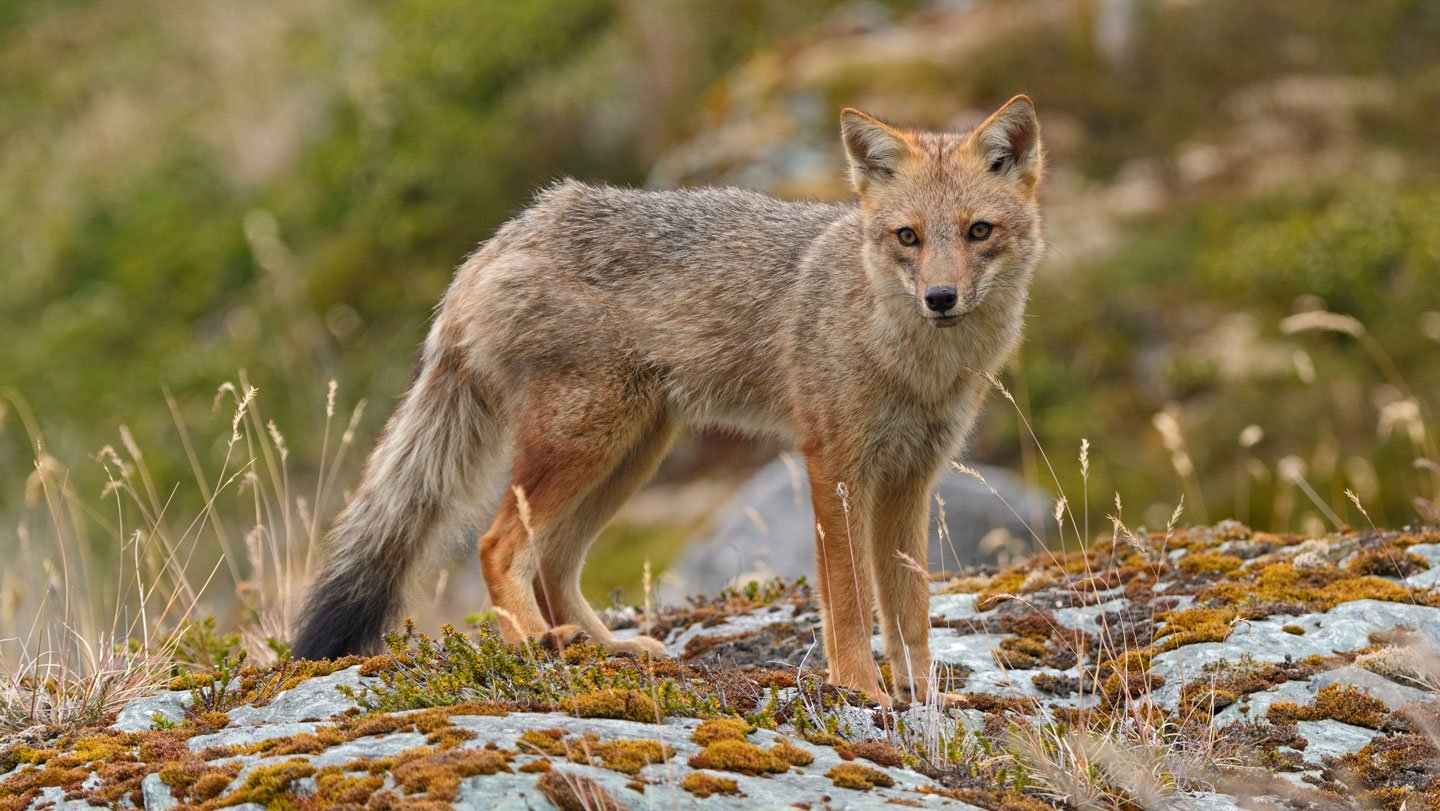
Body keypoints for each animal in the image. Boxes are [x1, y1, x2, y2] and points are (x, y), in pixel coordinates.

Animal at [291, 96, 1044, 703]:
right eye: (907, 237)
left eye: (978, 232)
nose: (940, 298)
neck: (915, 363)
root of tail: (509, 233)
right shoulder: (834, 467)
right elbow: (852, 602)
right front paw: (862, 689)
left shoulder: (911, 479)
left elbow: (911, 607)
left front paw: (925, 695)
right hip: (586, 444)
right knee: (497, 546)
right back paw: (537, 643)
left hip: (631, 453)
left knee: (553, 565)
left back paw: (606, 648)